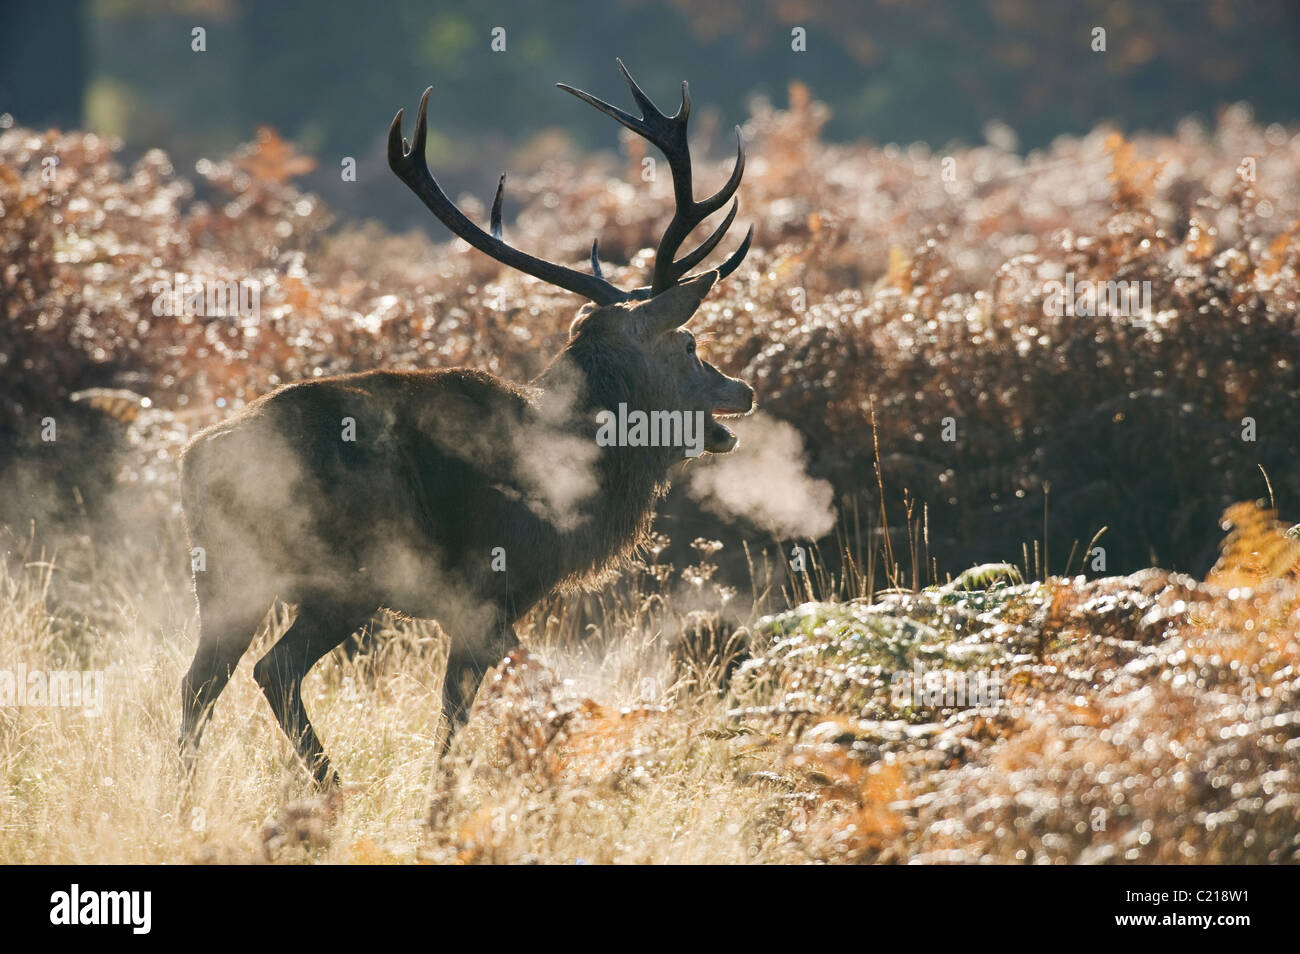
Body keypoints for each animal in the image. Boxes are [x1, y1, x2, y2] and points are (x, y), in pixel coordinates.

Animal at [177, 61, 756, 788]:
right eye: (689, 345)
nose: (742, 390)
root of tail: (197, 459)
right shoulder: (489, 591)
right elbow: (459, 719)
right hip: (343, 576)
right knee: (270, 669)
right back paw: (331, 789)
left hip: (225, 574)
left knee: (200, 682)